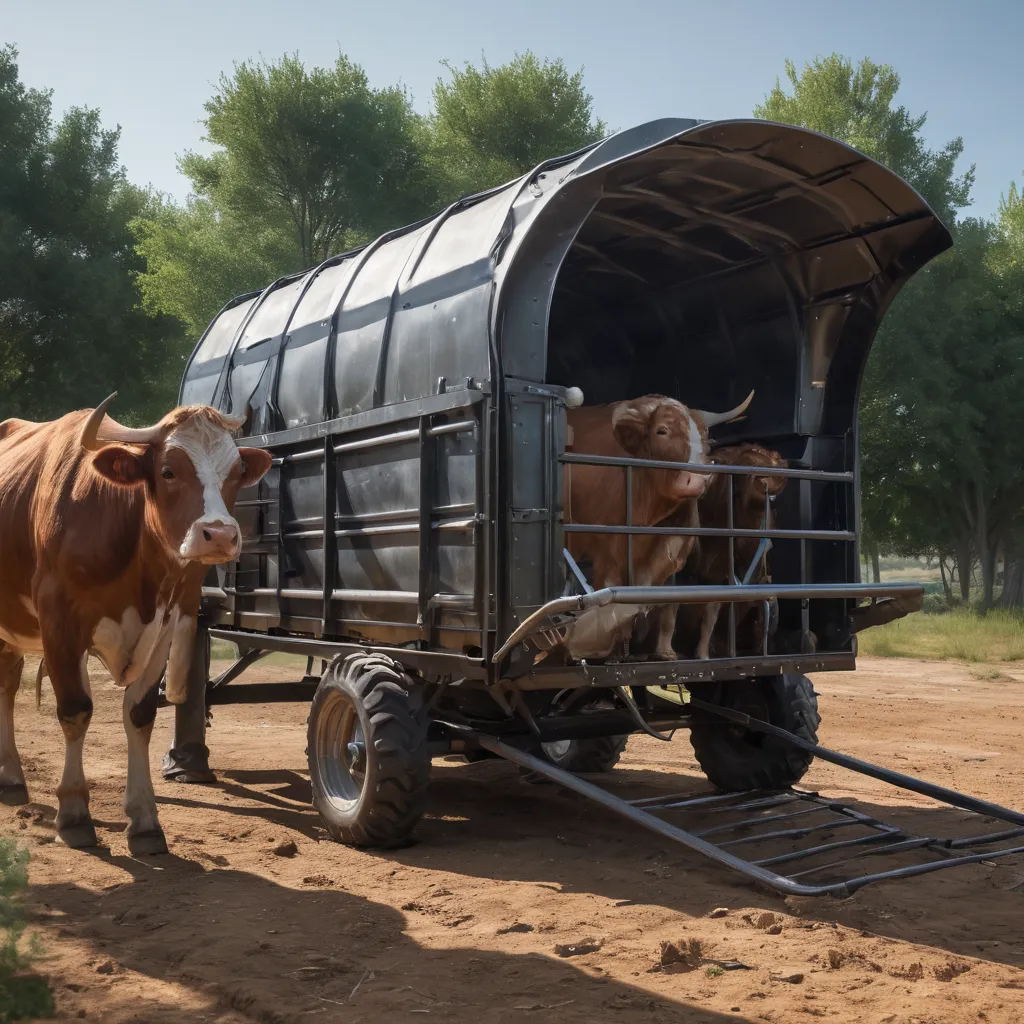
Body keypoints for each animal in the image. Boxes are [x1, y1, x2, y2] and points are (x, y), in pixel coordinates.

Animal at [0, 395, 271, 854]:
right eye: (168, 471)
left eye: (236, 473)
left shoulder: (165, 626)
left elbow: (140, 715)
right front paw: (73, 814)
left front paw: (145, 820)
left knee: (6, 684)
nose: (219, 535)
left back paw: (12, 777)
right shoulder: (60, 623)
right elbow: (76, 710)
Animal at [561, 391, 754, 660]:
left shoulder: (671, 551)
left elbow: (652, 601)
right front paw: (609, 649)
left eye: (705, 436)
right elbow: (610, 594)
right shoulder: (606, 552)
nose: (698, 478)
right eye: (662, 430)